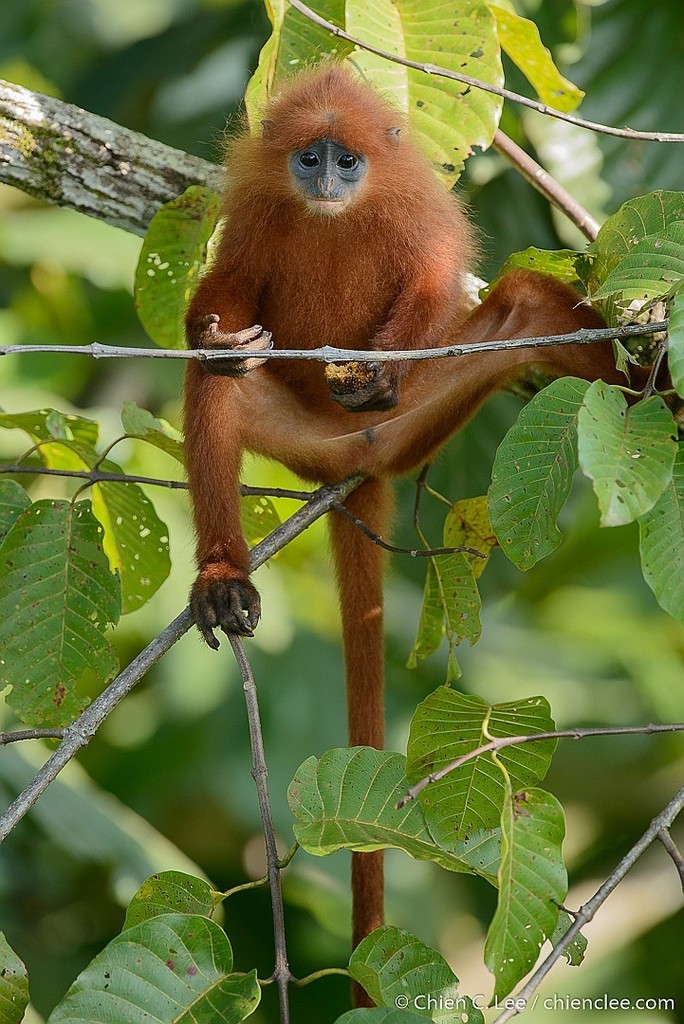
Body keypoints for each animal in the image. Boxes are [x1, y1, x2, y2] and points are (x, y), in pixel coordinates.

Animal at [182, 64, 625, 988]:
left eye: (348, 160)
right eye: (308, 156)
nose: (324, 180)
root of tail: (360, 459)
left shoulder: (417, 207)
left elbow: (431, 276)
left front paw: (380, 364)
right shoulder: (257, 209)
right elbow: (225, 296)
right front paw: (214, 331)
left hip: (419, 415)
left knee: (527, 305)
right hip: (300, 431)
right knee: (216, 384)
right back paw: (222, 573)